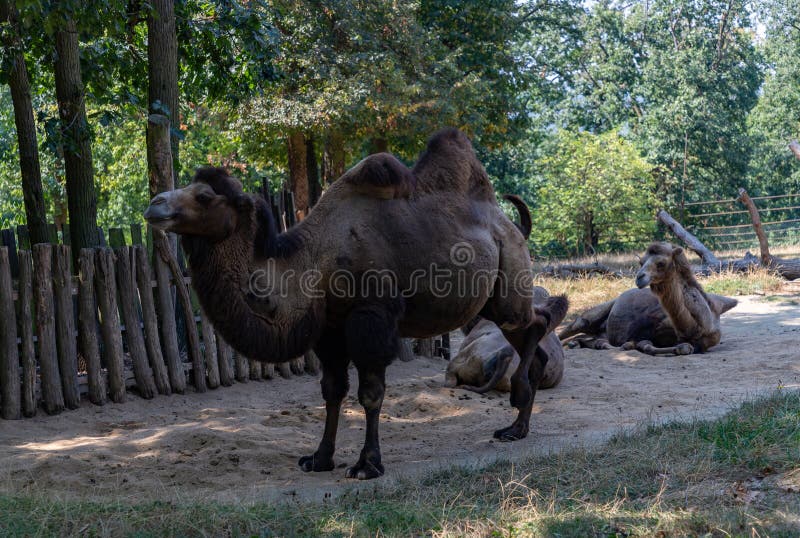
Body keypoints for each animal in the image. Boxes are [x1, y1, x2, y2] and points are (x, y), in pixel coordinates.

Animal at [144, 128, 568, 480]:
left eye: (203, 196)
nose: (154, 204)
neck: (314, 261)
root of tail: (507, 223)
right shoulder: (329, 329)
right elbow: (332, 391)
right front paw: (319, 458)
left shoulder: (370, 318)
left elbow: (370, 393)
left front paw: (367, 464)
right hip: (486, 301)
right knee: (531, 334)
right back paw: (518, 425)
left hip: (510, 274)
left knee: (530, 321)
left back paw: (517, 405)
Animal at [559, 242, 737, 356]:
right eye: (641, 262)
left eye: (661, 263)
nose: (639, 278)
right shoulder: (646, 332)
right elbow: (648, 345)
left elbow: (682, 347)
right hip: (590, 317)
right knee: (574, 327)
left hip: (600, 331)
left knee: (586, 338)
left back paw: (580, 344)